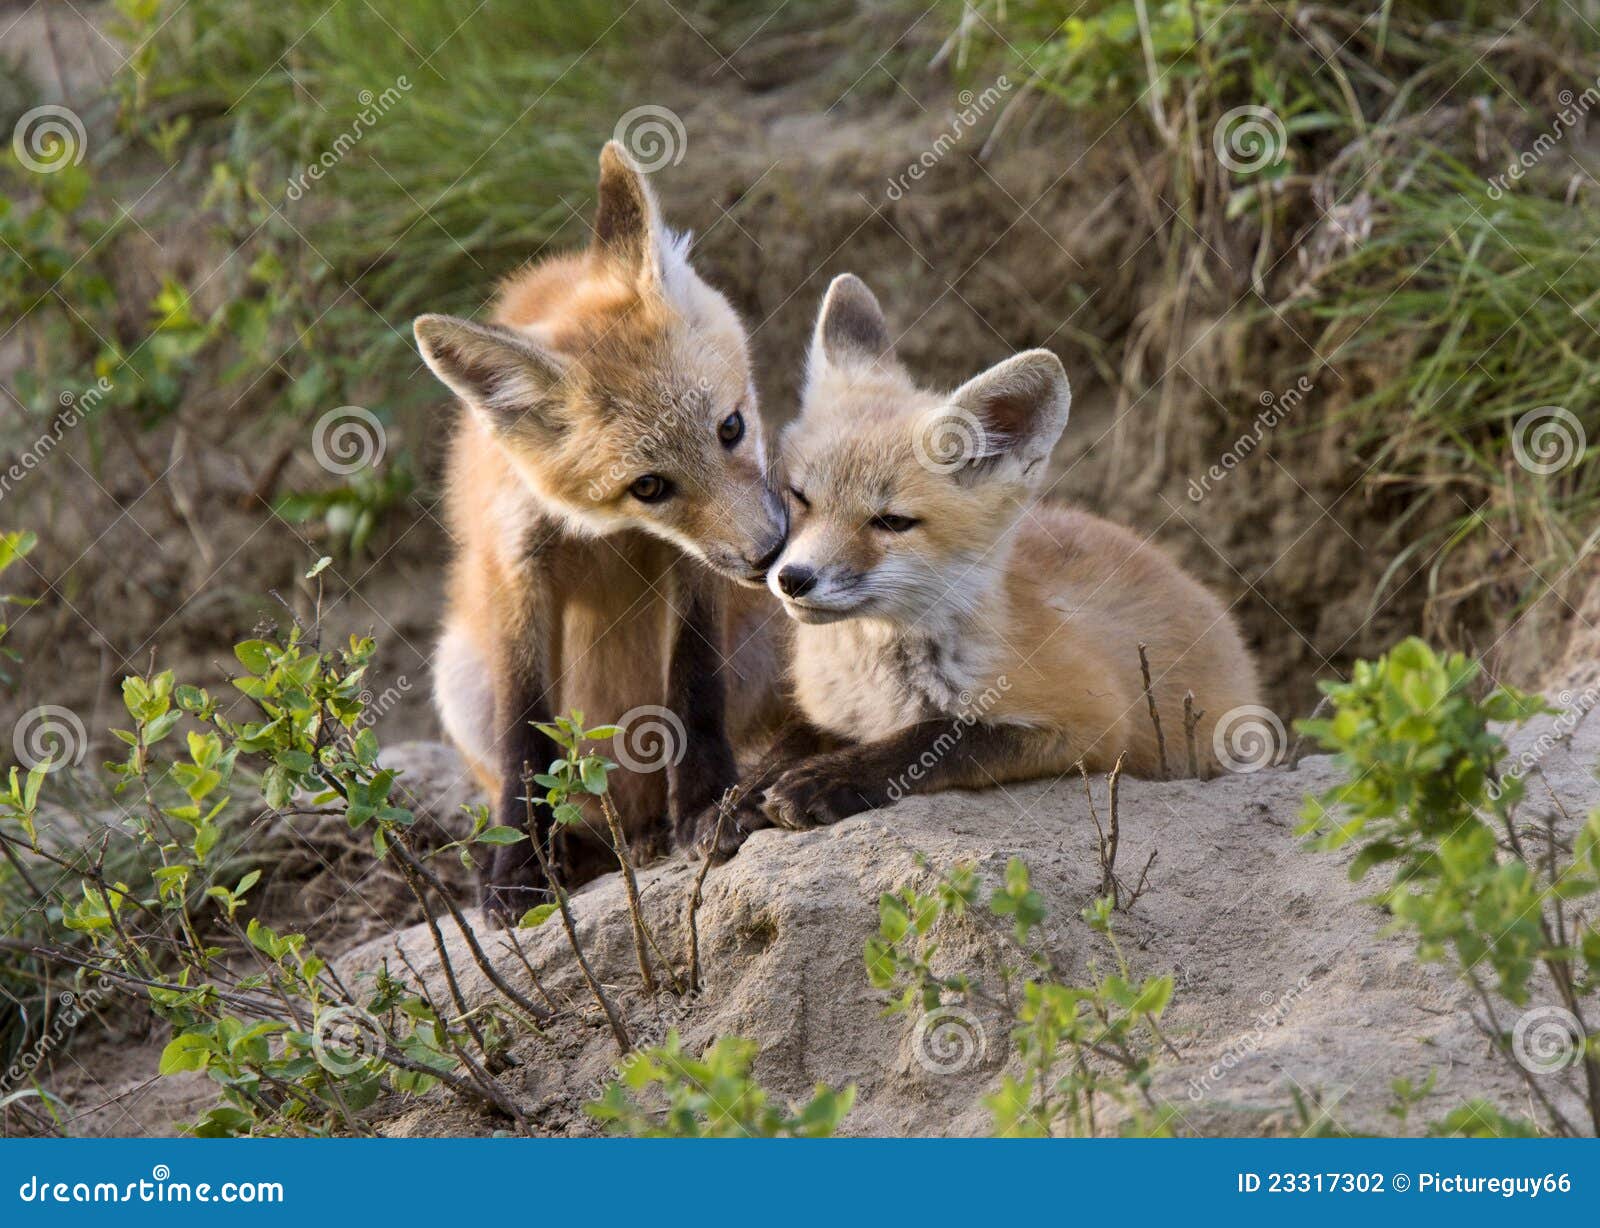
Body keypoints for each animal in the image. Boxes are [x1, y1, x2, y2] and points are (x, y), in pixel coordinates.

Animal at [414, 142, 789, 923]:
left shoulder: (695, 568)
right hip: (456, 675)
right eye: (648, 486)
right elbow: (526, 733)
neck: (607, 530)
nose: (769, 553)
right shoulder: (517, 567)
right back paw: (586, 846)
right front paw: (519, 865)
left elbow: (694, 683)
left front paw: (707, 804)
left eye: (732, 427)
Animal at [699, 273, 1259, 853]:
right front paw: (738, 800)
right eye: (800, 497)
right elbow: (793, 739)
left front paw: (830, 779)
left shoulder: (1095, 722)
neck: (882, 677)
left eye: (891, 522)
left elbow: (943, 735)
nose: (792, 579)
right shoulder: (829, 708)